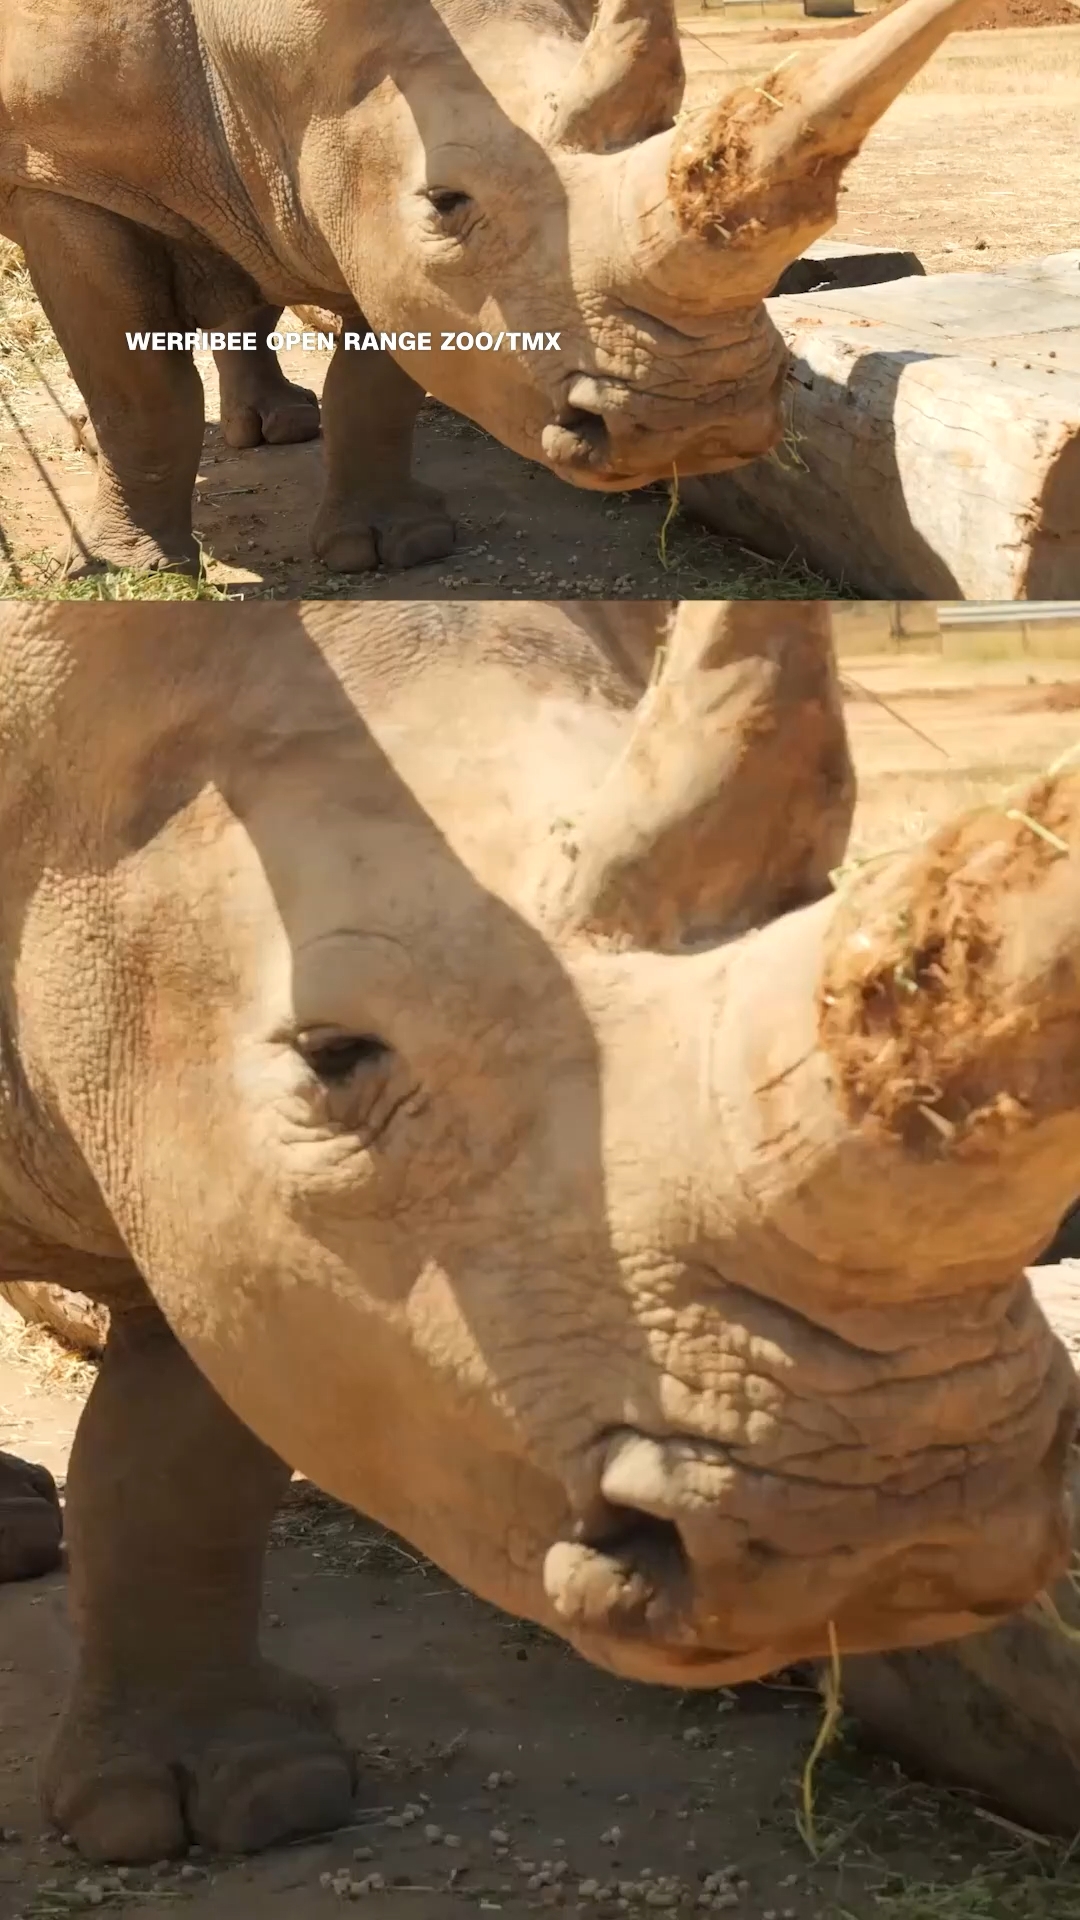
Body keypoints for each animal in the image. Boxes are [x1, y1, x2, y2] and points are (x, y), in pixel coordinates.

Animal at [0, 0, 977, 575]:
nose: (701, 425)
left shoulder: (363, 208)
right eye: (444, 202)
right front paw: (131, 570)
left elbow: (381, 380)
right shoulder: (65, 174)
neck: (266, 55)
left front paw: (393, 549)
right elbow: (139, 394)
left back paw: (278, 429)